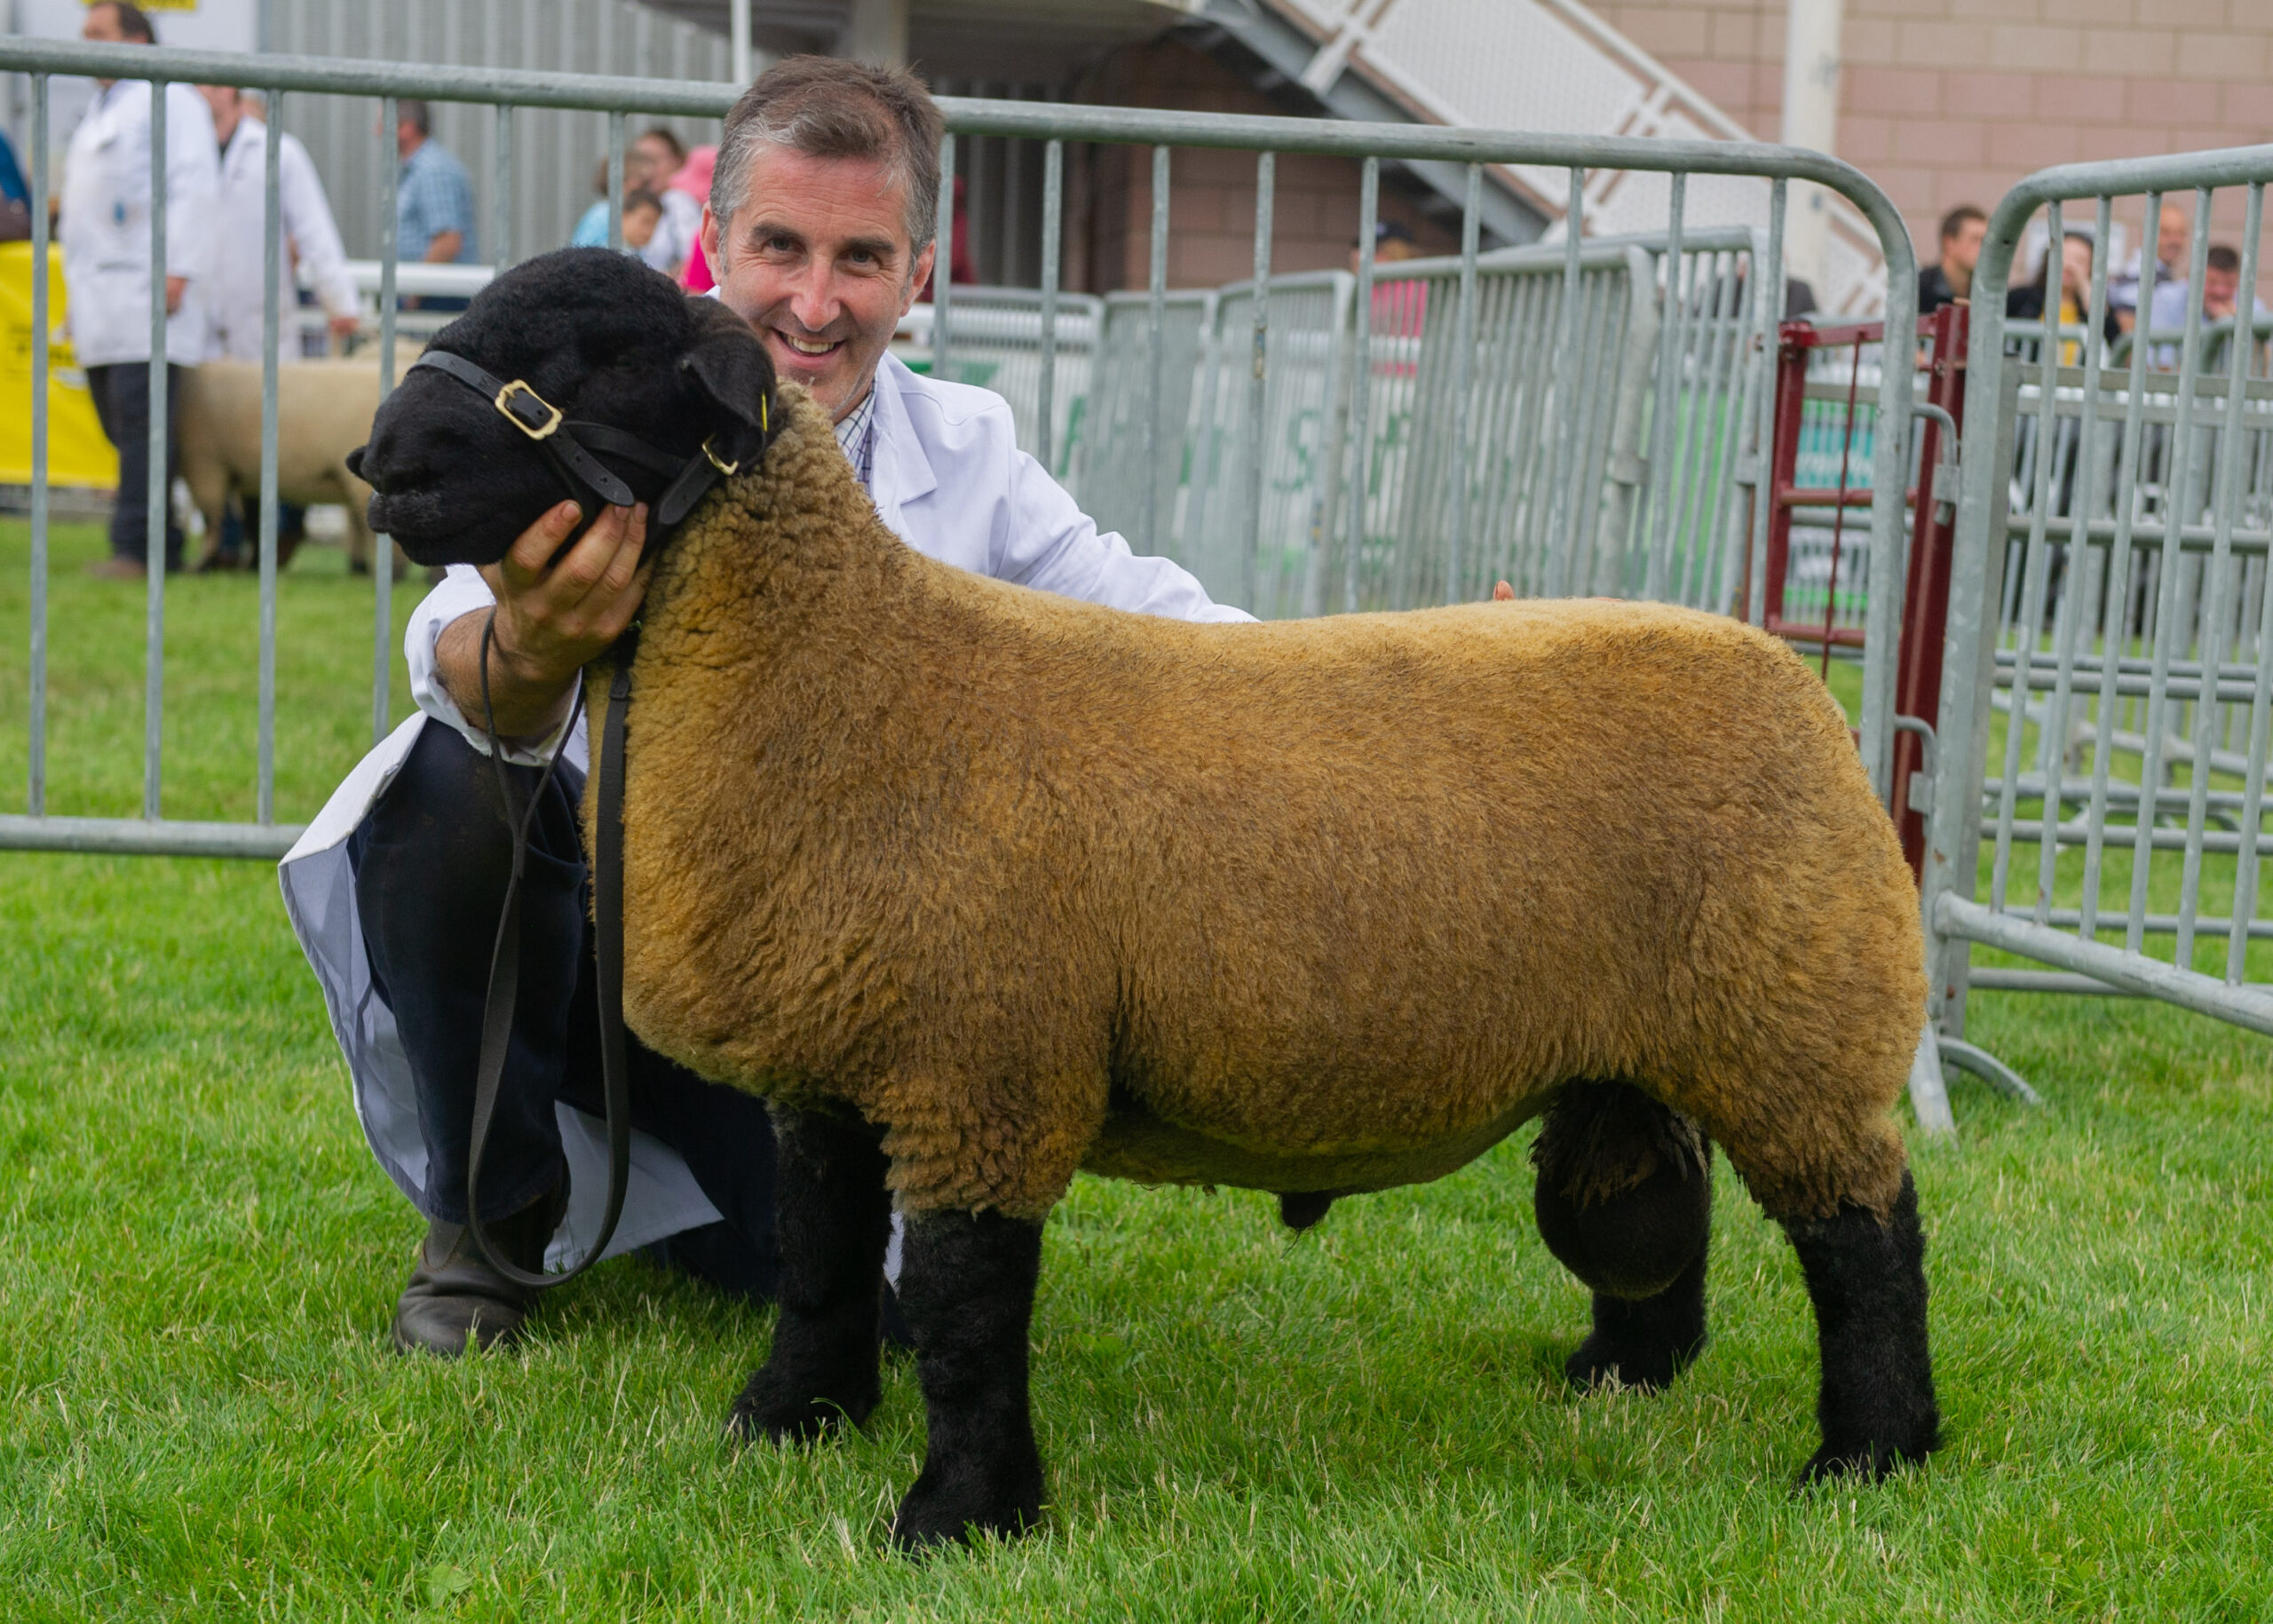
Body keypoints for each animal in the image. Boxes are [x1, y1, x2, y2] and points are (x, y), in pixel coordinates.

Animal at [179, 349, 416, 577]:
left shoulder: (205, 463)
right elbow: (253, 520)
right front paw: (252, 564)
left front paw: (200, 566)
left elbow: (211, 519)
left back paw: (391, 573)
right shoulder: (246, 476)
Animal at [353, 250, 1940, 1552]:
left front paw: (960, 1517)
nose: (380, 457)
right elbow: (819, 1260)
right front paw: (790, 1422)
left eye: (594, 350)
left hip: (1800, 1011)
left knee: (1868, 1240)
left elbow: (964, 1310)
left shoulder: (979, 1064)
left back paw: (1874, 1458)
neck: (845, 670)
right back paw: (1624, 1376)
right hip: (1657, 1039)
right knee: (1661, 1204)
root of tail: (1794, 672)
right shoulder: (838, 1066)